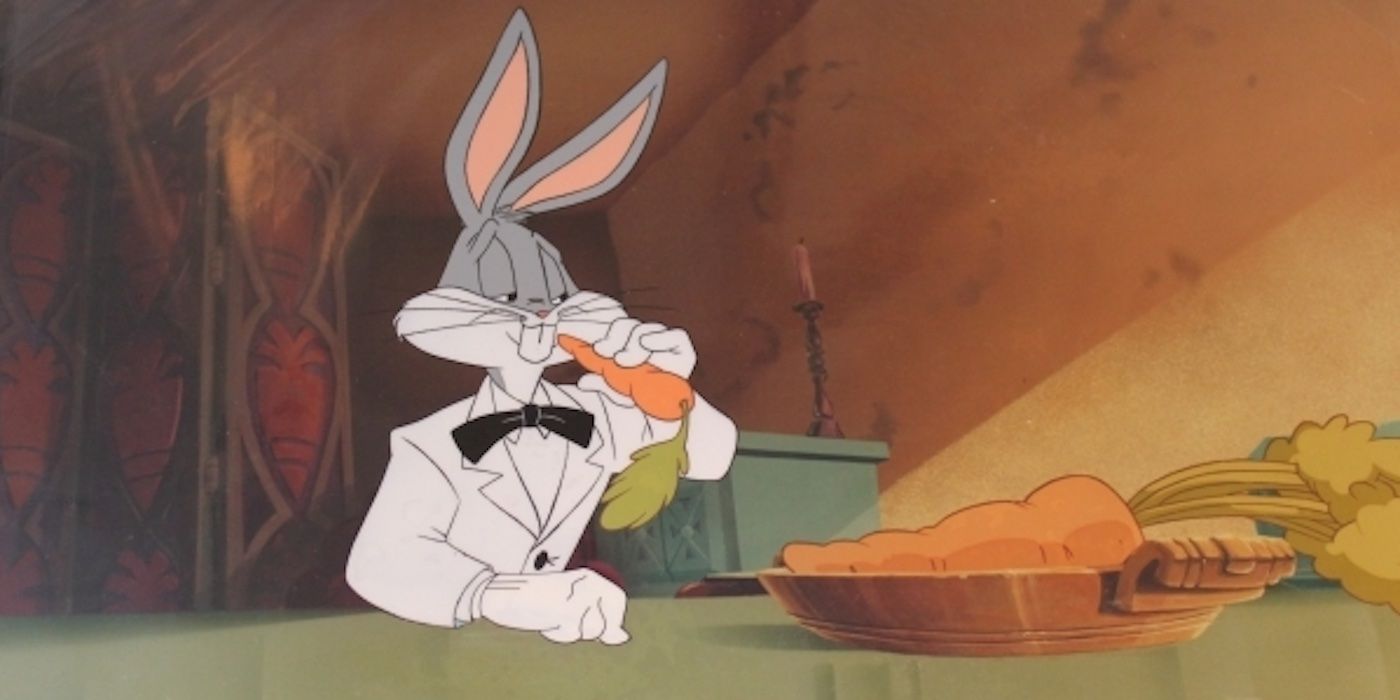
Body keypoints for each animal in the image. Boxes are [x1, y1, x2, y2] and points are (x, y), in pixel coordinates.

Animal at [347, 9, 738, 646]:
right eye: (504, 294)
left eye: (558, 292)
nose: (541, 312)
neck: (527, 408)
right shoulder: (408, 464)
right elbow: (386, 554)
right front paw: (563, 600)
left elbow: (715, 446)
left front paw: (651, 351)